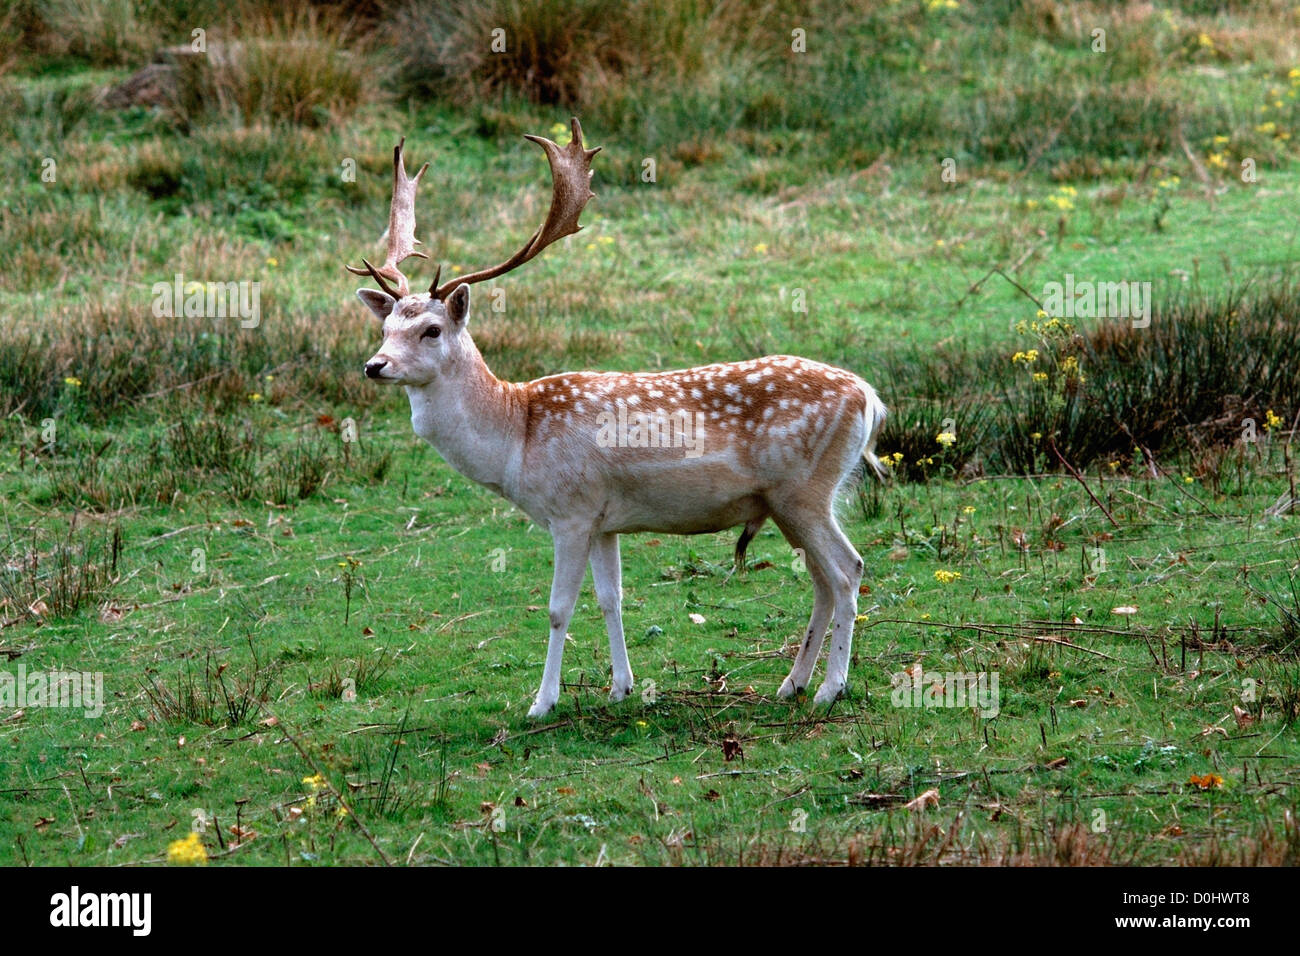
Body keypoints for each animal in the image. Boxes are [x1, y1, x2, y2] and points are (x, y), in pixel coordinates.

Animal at [348, 119, 887, 718]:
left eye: (432, 329)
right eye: (385, 327)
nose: (374, 366)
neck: (517, 439)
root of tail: (870, 398)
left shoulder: (571, 510)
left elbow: (559, 607)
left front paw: (542, 703)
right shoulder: (606, 519)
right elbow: (611, 598)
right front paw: (621, 688)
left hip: (804, 489)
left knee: (847, 570)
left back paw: (830, 688)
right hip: (791, 500)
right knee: (822, 578)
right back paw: (792, 683)